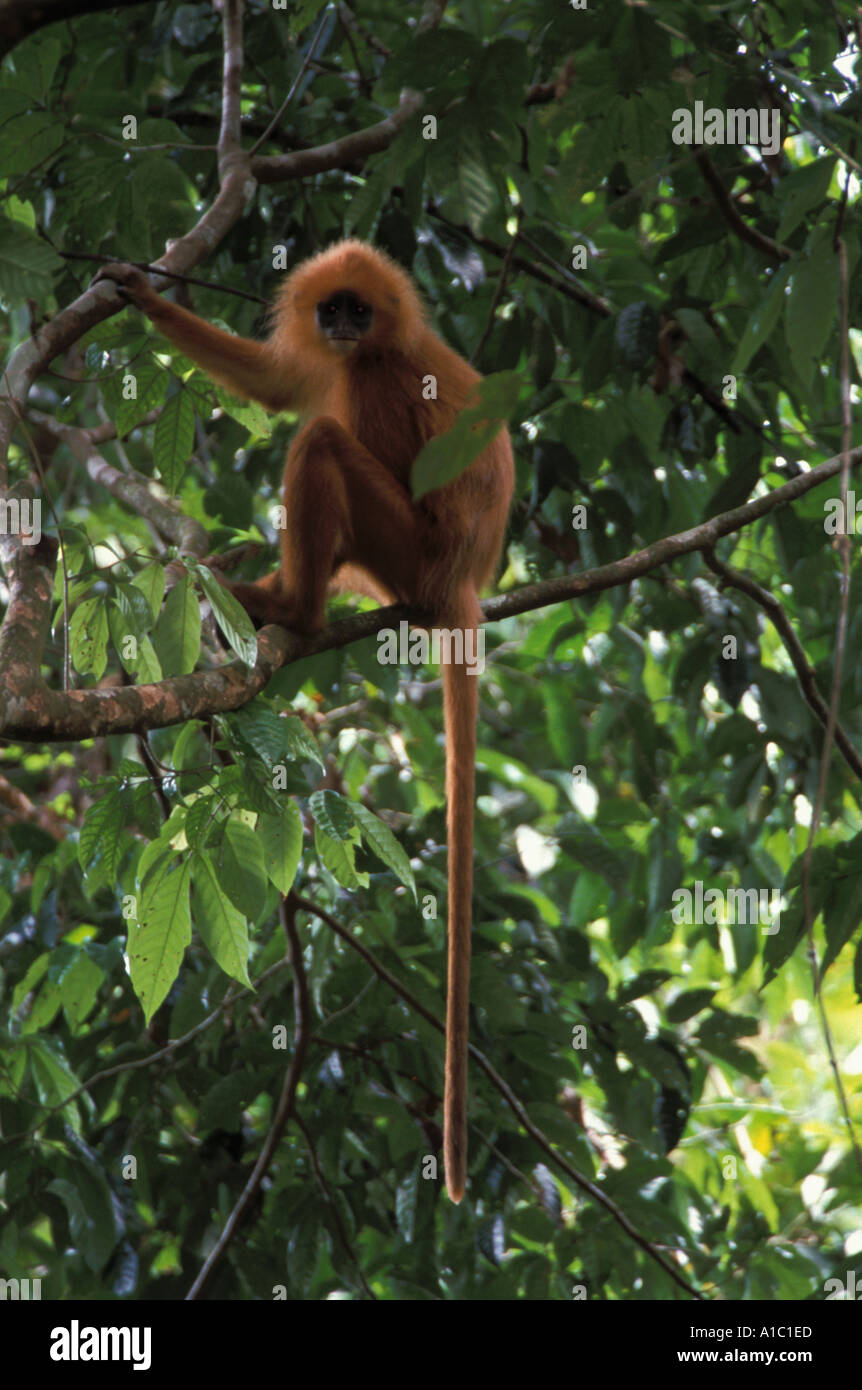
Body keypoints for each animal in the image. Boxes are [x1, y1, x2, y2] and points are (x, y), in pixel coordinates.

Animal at [95, 242, 514, 1204]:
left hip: (410, 552)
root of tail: (462, 582)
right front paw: (140, 296)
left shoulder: (384, 376)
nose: (344, 328)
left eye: (360, 311)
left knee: (324, 442)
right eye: (333, 310)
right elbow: (281, 385)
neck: (369, 347)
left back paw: (296, 608)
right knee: (315, 426)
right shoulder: (326, 361)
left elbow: (352, 433)